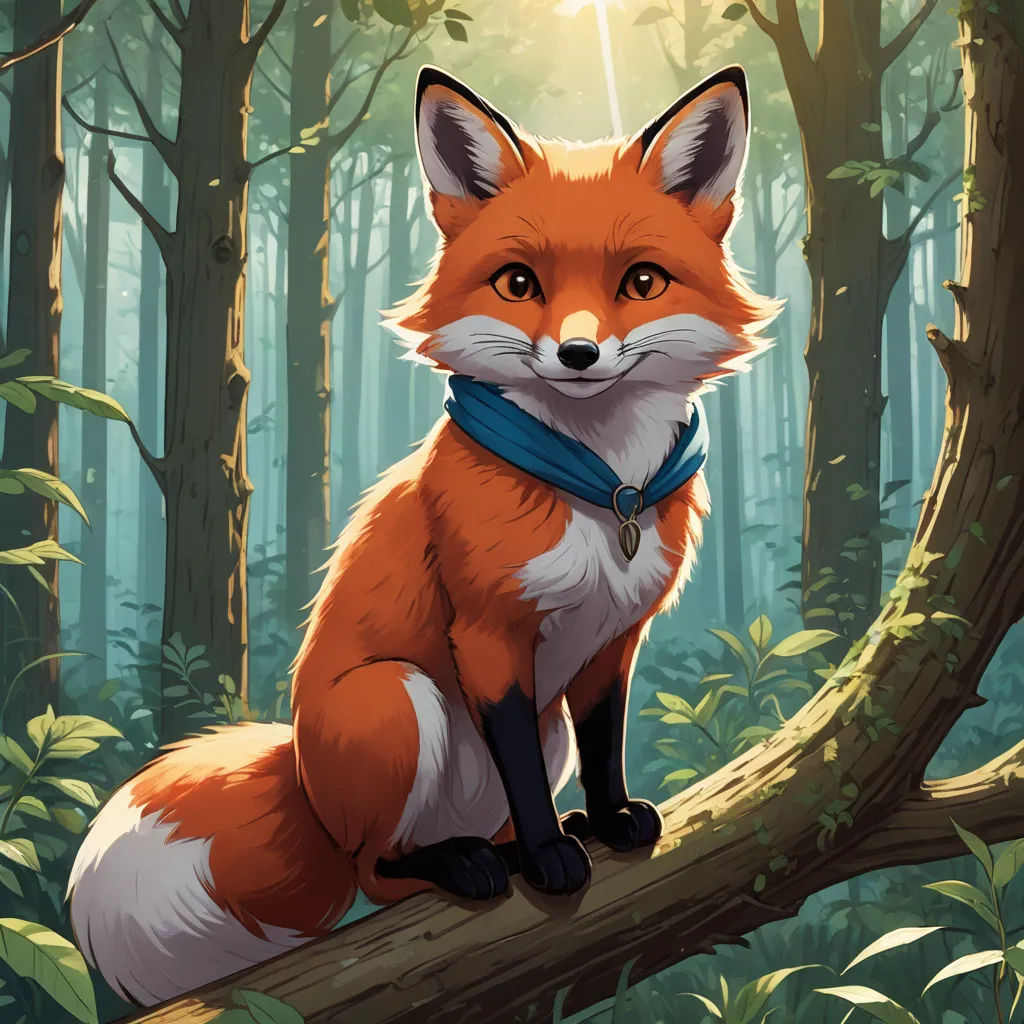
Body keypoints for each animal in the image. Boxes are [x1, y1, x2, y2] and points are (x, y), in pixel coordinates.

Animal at [67, 64, 778, 1005]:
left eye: (642, 282)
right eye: (518, 284)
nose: (578, 355)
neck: (603, 484)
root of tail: (304, 777)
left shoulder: (612, 641)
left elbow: (605, 745)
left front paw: (608, 816)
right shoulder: (486, 635)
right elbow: (518, 770)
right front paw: (551, 858)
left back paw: (524, 841)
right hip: (397, 699)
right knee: (376, 868)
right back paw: (471, 862)